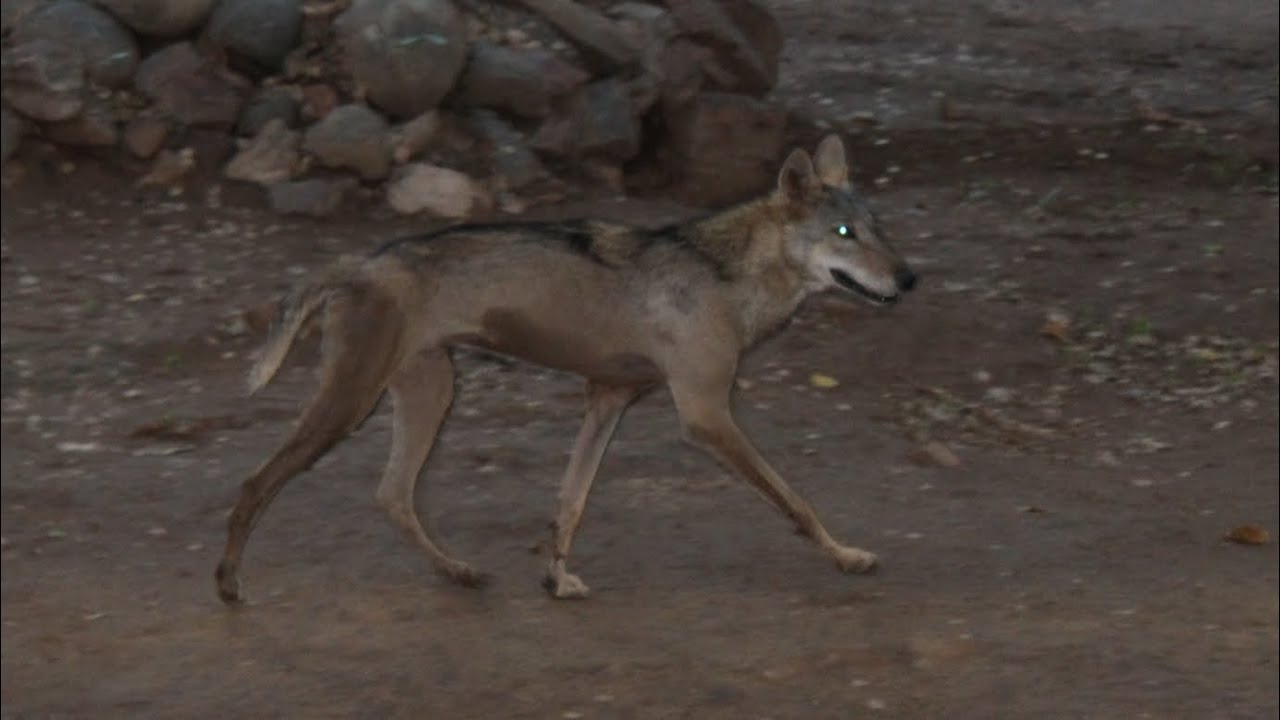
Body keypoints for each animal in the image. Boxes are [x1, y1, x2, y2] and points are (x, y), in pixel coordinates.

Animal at [215, 134, 918, 603]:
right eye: (846, 233)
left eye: (879, 228)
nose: (911, 278)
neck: (726, 277)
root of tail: (360, 261)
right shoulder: (705, 417)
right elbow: (795, 499)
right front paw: (846, 557)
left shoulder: (607, 399)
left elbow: (569, 502)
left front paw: (555, 576)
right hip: (349, 409)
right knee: (255, 482)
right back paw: (228, 584)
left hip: (431, 395)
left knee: (392, 495)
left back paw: (458, 572)